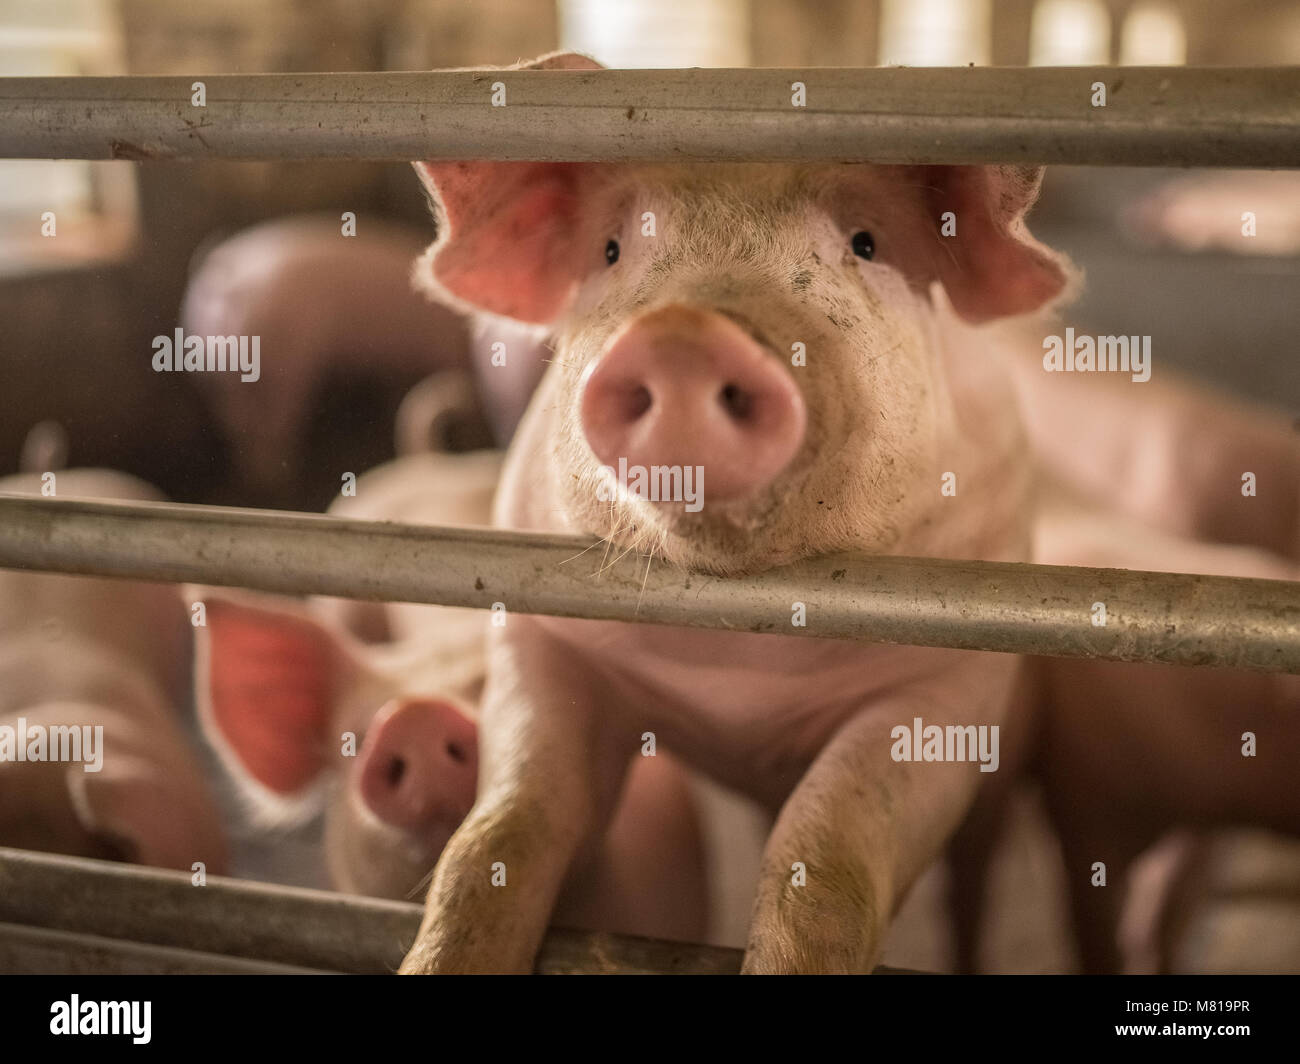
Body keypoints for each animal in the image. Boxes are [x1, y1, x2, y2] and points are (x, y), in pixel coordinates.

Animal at [396, 51, 1077, 974]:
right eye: (612, 249)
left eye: (865, 243)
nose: (682, 335)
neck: (741, 677)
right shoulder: (540, 645)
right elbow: (500, 832)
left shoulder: (946, 689)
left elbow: (825, 858)